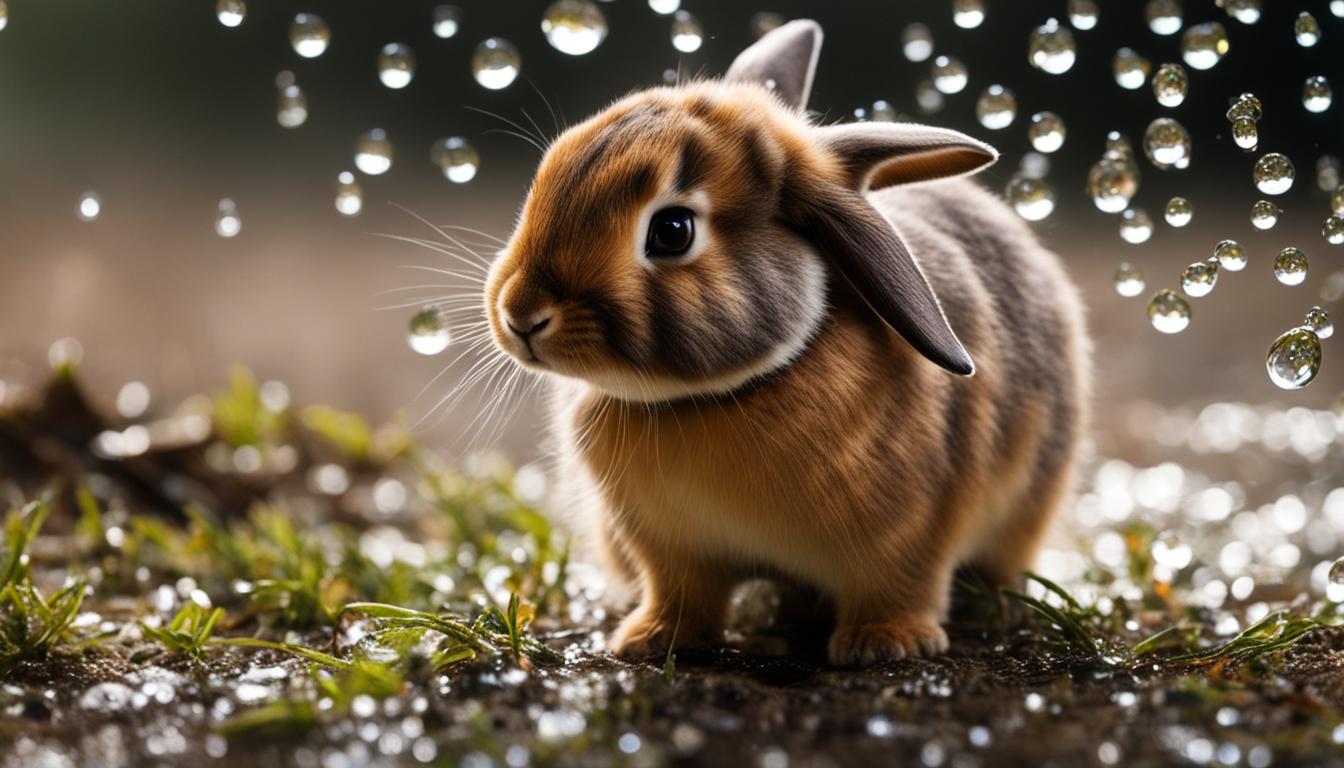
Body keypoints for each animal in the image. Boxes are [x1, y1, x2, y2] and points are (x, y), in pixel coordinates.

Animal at [482, 20, 1090, 666]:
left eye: (672, 231)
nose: (521, 314)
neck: (706, 401)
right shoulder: (673, 551)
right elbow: (683, 596)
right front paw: (651, 640)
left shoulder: (910, 536)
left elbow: (903, 585)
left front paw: (885, 645)